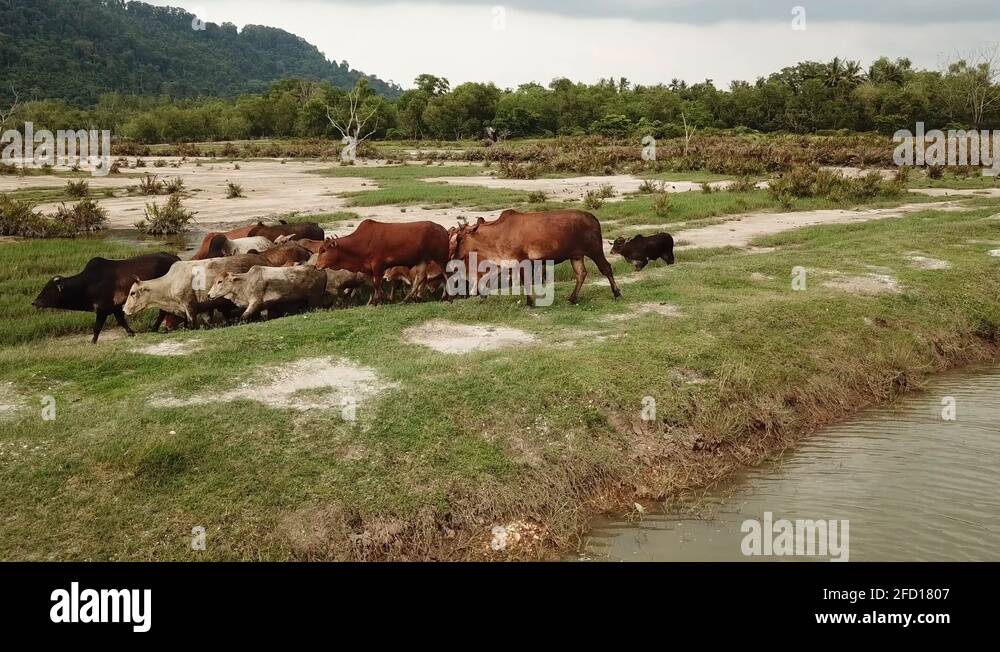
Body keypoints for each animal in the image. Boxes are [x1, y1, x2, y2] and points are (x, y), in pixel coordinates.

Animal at [32, 253, 179, 343]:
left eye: (49, 290)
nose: (34, 302)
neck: (88, 284)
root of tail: (175, 259)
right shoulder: (115, 308)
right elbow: (122, 321)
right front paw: (131, 333)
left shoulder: (102, 310)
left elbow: (97, 328)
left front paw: (93, 342)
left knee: (164, 311)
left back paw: (155, 328)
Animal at [123, 253, 271, 327]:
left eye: (132, 293)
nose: (124, 309)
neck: (170, 283)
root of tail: (264, 259)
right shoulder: (205, 306)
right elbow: (207, 321)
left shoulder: (189, 305)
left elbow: (191, 323)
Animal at [315, 220, 449, 304]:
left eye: (324, 250)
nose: (317, 266)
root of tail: (443, 229)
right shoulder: (369, 269)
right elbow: (375, 285)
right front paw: (380, 299)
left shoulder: (378, 265)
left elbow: (377, 283)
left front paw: (378, 301)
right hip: (423, 260)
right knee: (421, 278)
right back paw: (410, 298)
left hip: (441, 258)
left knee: (446, 276)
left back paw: (447, 297)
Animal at [449, 209, 621, 305]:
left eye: (460, 238)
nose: (454, 255)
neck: (497, 234)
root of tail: (592, 218)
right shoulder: (505, 263)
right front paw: (482, 296)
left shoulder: (522, 261)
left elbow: (526, 282)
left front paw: (530, 302)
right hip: (576, 255)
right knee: (581, 274)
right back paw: (572, 298)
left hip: (595, 250)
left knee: (606, 269)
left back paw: (617, 293)